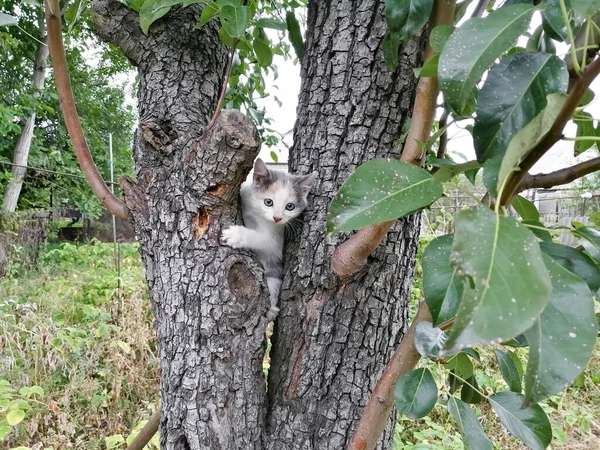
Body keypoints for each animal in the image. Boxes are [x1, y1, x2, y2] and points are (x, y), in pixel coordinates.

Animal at [221, 158, 316, 320]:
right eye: (268, 202)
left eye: (289, 206)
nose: (277, 218)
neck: (258, 215)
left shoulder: (277, 240)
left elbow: (263, 240)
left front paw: (237, 235)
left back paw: (271, 310)